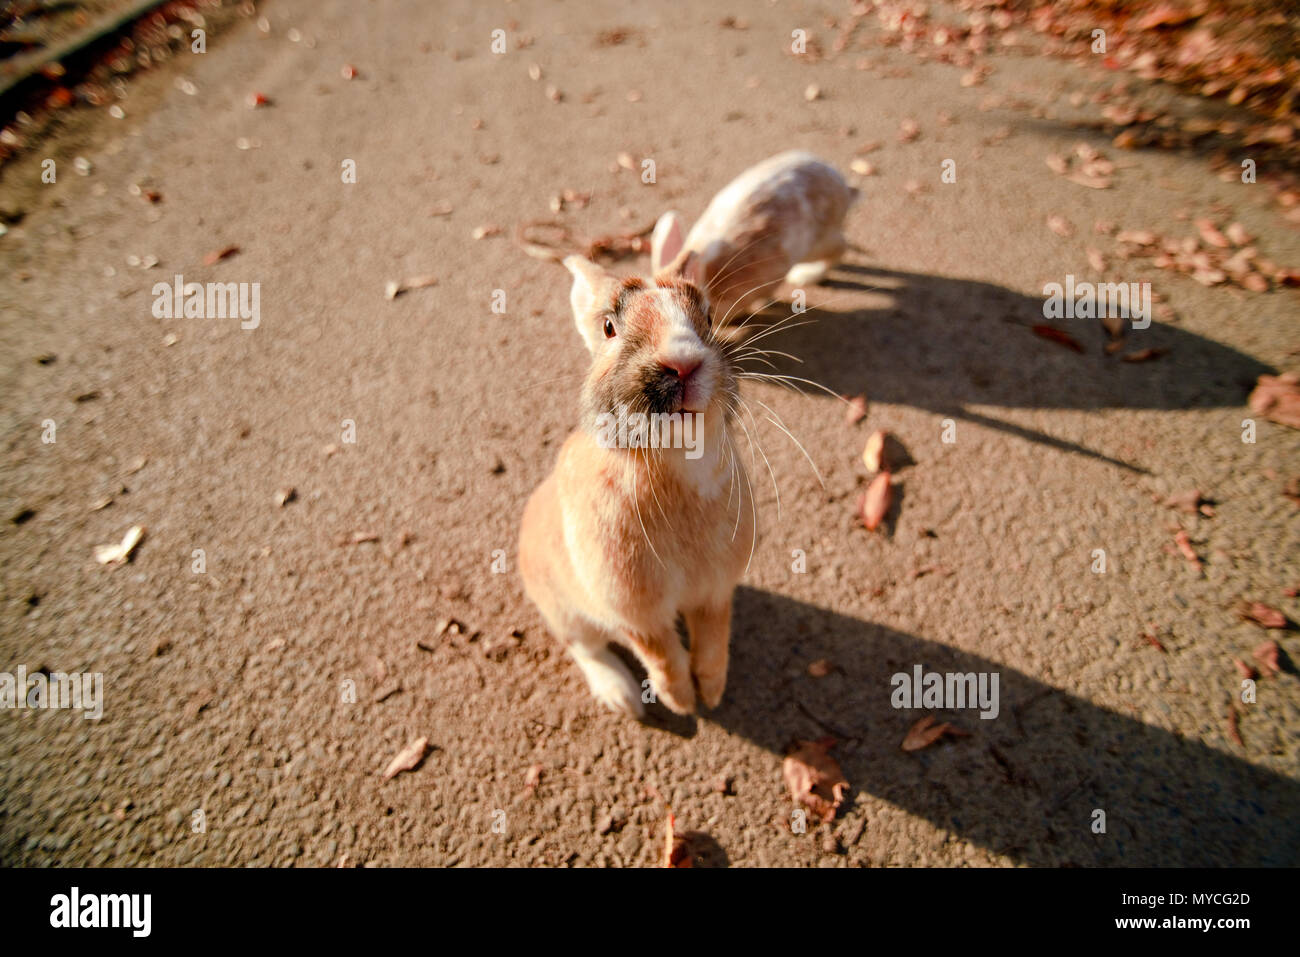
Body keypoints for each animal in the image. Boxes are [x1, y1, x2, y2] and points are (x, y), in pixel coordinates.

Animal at [518, 255, 757, 718]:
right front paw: (683, 704)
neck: (674, 459)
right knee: (585, 649)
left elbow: (714, 642)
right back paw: (623, 698)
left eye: (708, 316)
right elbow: (662, 656)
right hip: (567, 613)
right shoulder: (636, 614)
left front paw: (712, 692)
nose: (682, 363)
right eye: (609, 327)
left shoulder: (715, 594)